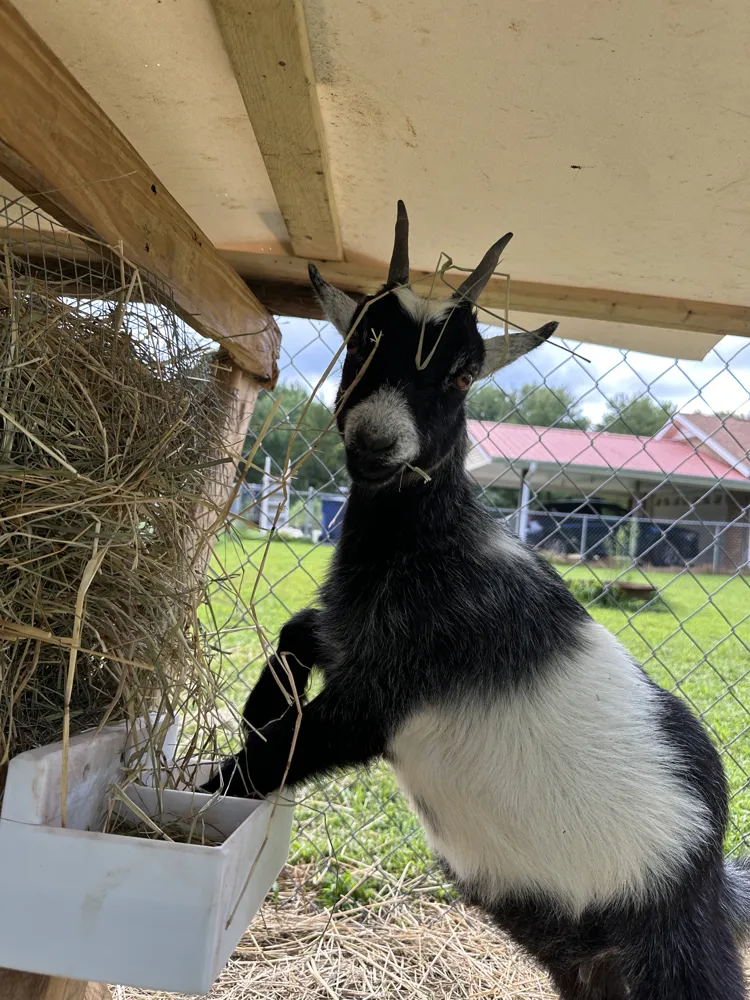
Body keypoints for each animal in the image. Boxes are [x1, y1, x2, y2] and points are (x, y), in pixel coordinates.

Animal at [203, 203, 750, 998]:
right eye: (363, 337)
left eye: (463, 374)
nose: (378, 443)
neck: (432, 545)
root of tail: (713, 874)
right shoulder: (352, 634)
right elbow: (298, 631)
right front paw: (263, 705)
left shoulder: (378, 699)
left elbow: (257, 767)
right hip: (581, 959)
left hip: (675, 961)